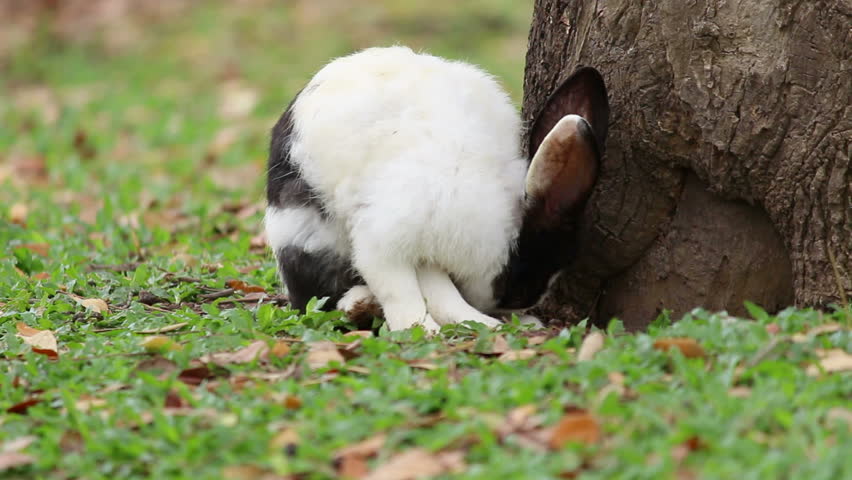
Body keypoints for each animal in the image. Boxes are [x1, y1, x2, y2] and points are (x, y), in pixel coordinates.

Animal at [265, 46, 609, 332]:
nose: (518, 306)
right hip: (309, 239)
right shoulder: (392, 233)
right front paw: (420, 328)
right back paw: (361, 304)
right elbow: (398, 285)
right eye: (524, 282)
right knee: (316, 299)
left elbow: (435, 287)